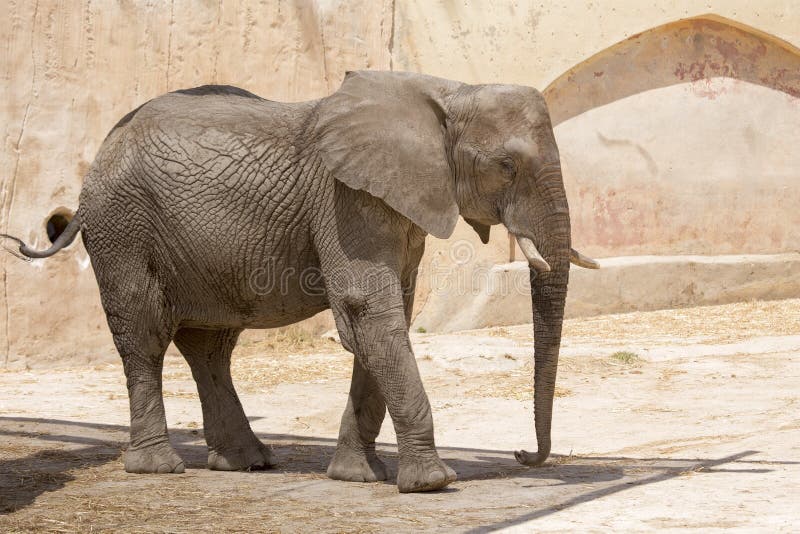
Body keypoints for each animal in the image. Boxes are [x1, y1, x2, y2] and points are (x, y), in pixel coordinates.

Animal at [2, 71, 598, 493]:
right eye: (507, 166)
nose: (523, 455)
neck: (447, 93)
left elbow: (385, 320)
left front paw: (357, 477)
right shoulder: (345, 199)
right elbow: (368, 310)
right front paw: (433, 483)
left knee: (210, 346)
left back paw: (245, 463)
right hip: (122, 227)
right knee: (144, 336)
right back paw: (159, 468)